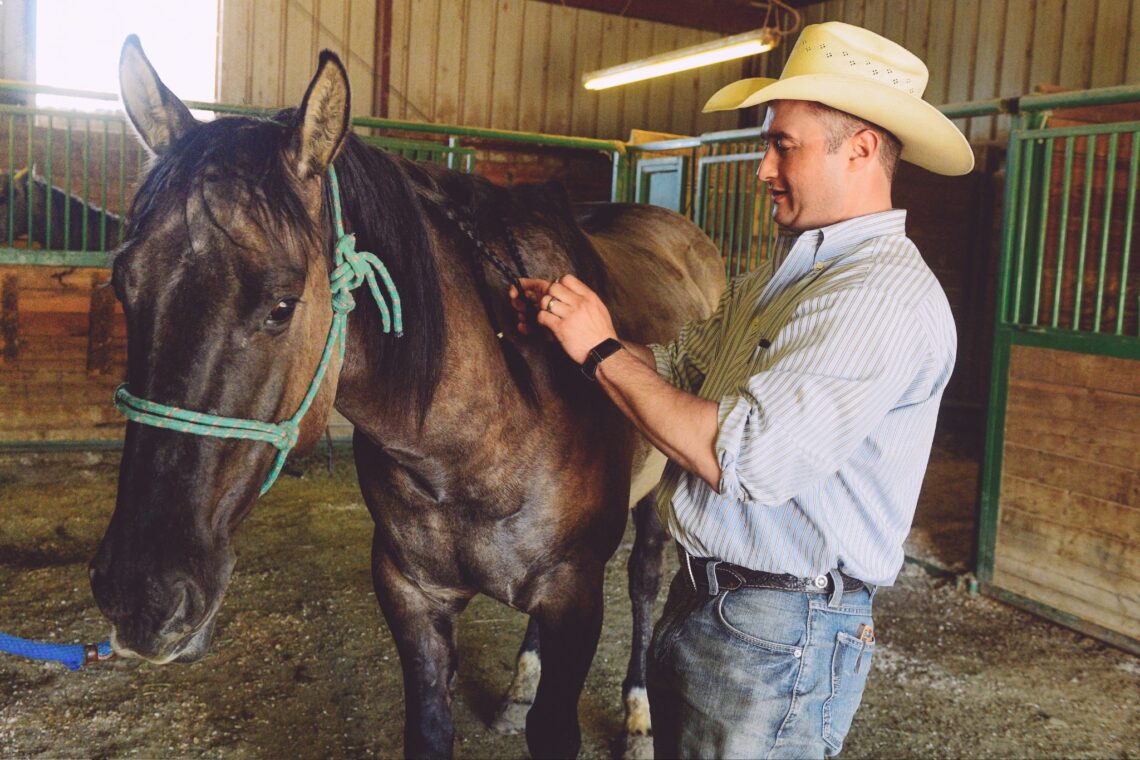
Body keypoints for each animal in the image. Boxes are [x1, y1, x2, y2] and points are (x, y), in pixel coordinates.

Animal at [90, 37, 724, 759]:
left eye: (281, 306)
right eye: (123, 288)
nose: (138, 594)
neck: (479, 432)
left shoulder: (576, 597)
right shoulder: (413, 595)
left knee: (645, 583)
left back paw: (640, 716)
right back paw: (518, 687)